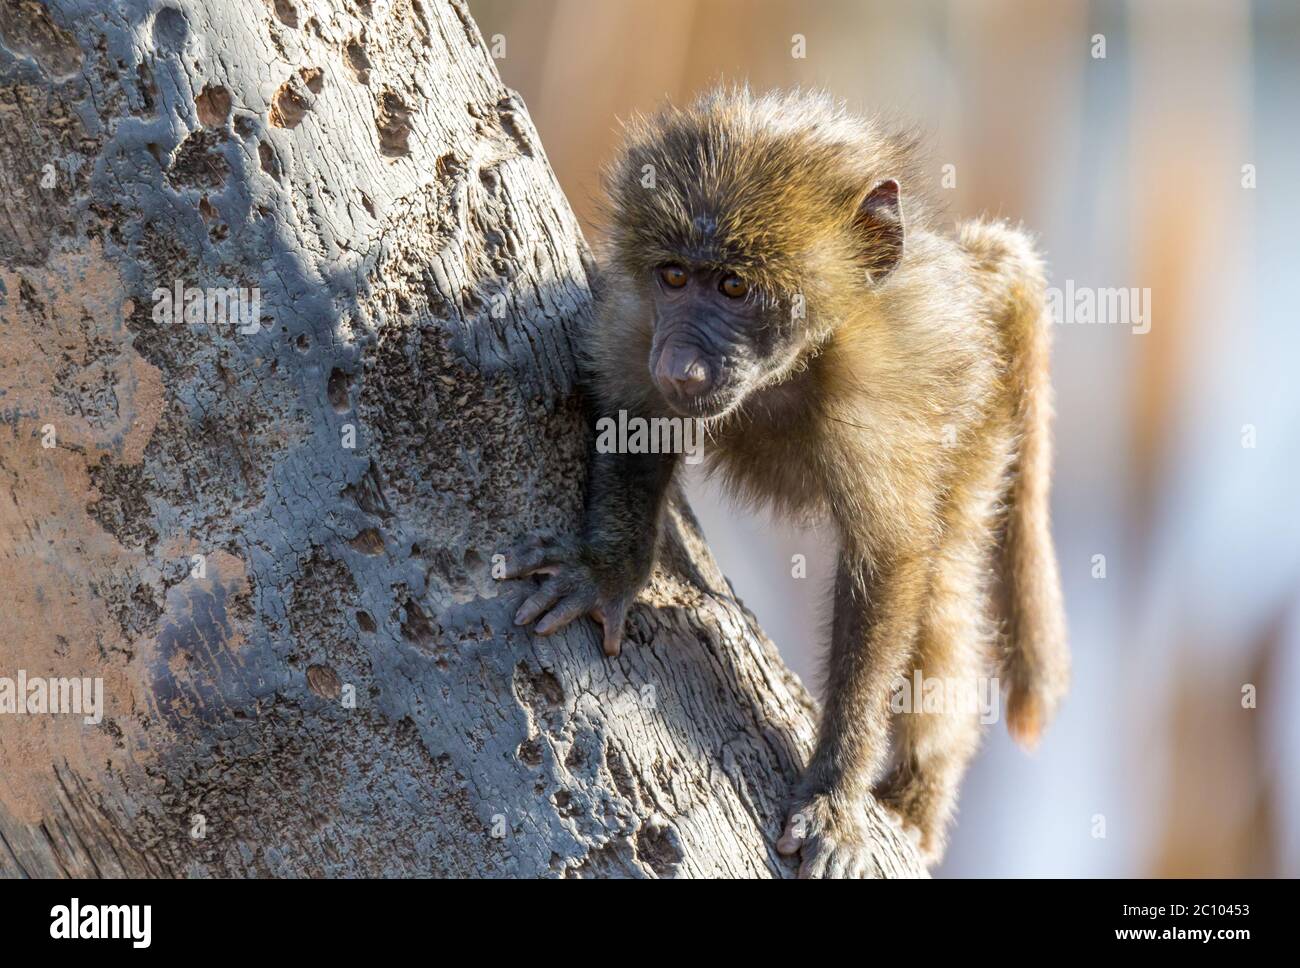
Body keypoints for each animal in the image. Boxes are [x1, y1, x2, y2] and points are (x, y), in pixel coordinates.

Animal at [499, 87, 1068, 876]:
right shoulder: (634, 321)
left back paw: (917, 800)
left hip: (981, 421)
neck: (788, 370)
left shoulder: (875, 395)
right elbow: (635, 422)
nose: (680, 368)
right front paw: (606, 572)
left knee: (945, 588)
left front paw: (834, 795)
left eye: (735, 286)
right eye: (673, 276)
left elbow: (889, 564)